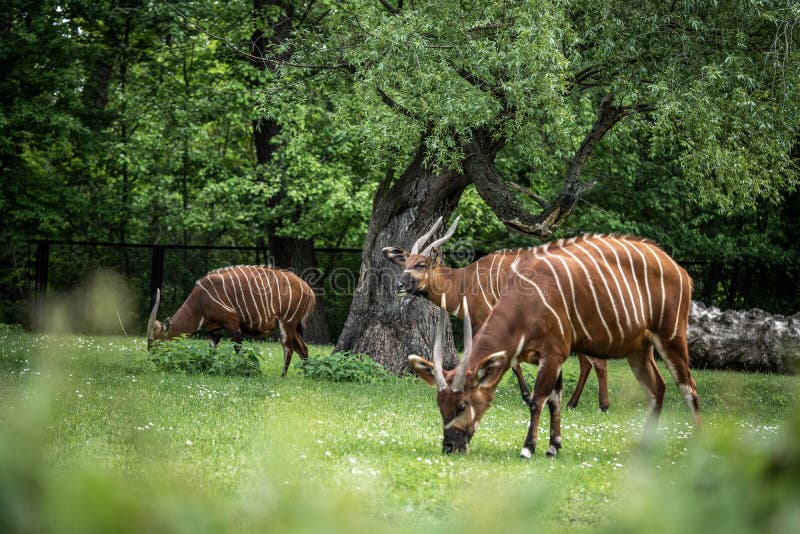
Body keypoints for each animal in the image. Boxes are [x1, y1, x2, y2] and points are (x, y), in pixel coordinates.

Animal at [146, 265, 315, 376]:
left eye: (157, 344)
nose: (153, 362)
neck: (200, 301)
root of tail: (308, 289)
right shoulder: (214, 330)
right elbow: (212, 351)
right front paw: (209, 369)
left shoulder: (232, 322)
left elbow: (238, 349)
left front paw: (243, 371)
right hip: (289, 326)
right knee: (303, 348)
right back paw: (307, 374)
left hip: (287, 323)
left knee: (288, 348)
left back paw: (282, 376)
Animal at [383, 216, 610, 411]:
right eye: (406, 263)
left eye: (421, 264)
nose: (398, 285)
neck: (464, 283)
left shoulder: (485, 322)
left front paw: (524, 397)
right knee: (587, 363)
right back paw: (573, 403)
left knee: (597, 362)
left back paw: (603, 406)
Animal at [408, 235, 700, 457]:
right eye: (440, 405)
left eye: (462, 405)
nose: (449, 446)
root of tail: (681, 271)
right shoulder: (550, 355)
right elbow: (552, 399)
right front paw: (553, 447)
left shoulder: (550, 351)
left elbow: (537, 397)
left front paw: (528, 446)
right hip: (637, 350)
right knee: (656, 388)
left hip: (669, 338)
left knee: (688, 388)